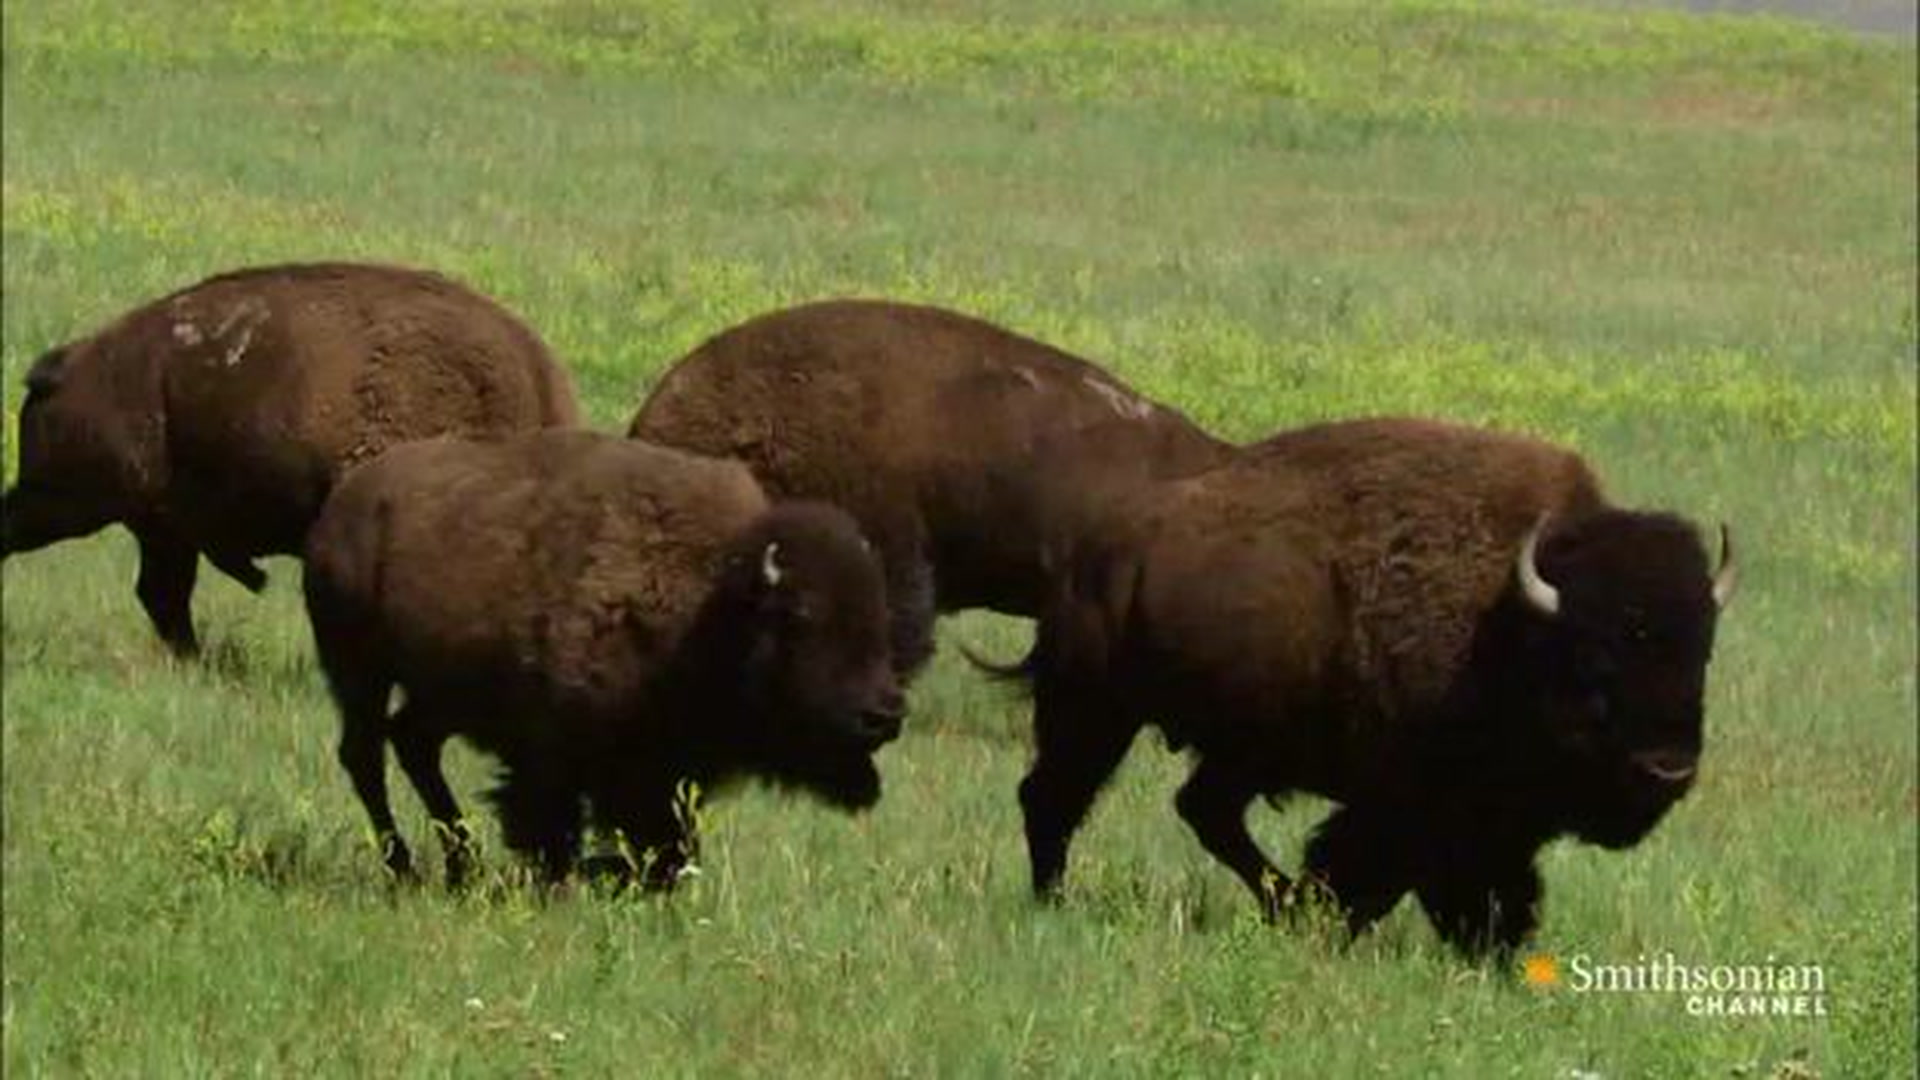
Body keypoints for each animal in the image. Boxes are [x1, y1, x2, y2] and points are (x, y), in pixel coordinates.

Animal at [303, 430, 905, 886]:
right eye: (801, 617)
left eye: (880, 617)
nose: (884, 714)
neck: (710, 601)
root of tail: (341, 509)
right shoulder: (555, 750)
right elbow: (550, 821)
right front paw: (569, 879)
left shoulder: (672, 769)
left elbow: (670, 833)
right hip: (359, 673)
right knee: (365, 755)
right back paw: (404, 868)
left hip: (441, 691)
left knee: (412, 743)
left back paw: (463, 866)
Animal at [984, 417, 1736, 959]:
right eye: (1595, 657)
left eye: (1701, 655)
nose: (1667, 768)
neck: (1509, 623)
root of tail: (1091, 551)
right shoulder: (1406, 802)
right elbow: (1376, 866)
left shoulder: (1492, 816)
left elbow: (1492, 880)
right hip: (1094, 713)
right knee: (1054, 798)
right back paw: (1056, 903)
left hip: (1237, 745)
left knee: (1201, 809)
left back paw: (1279, 905)